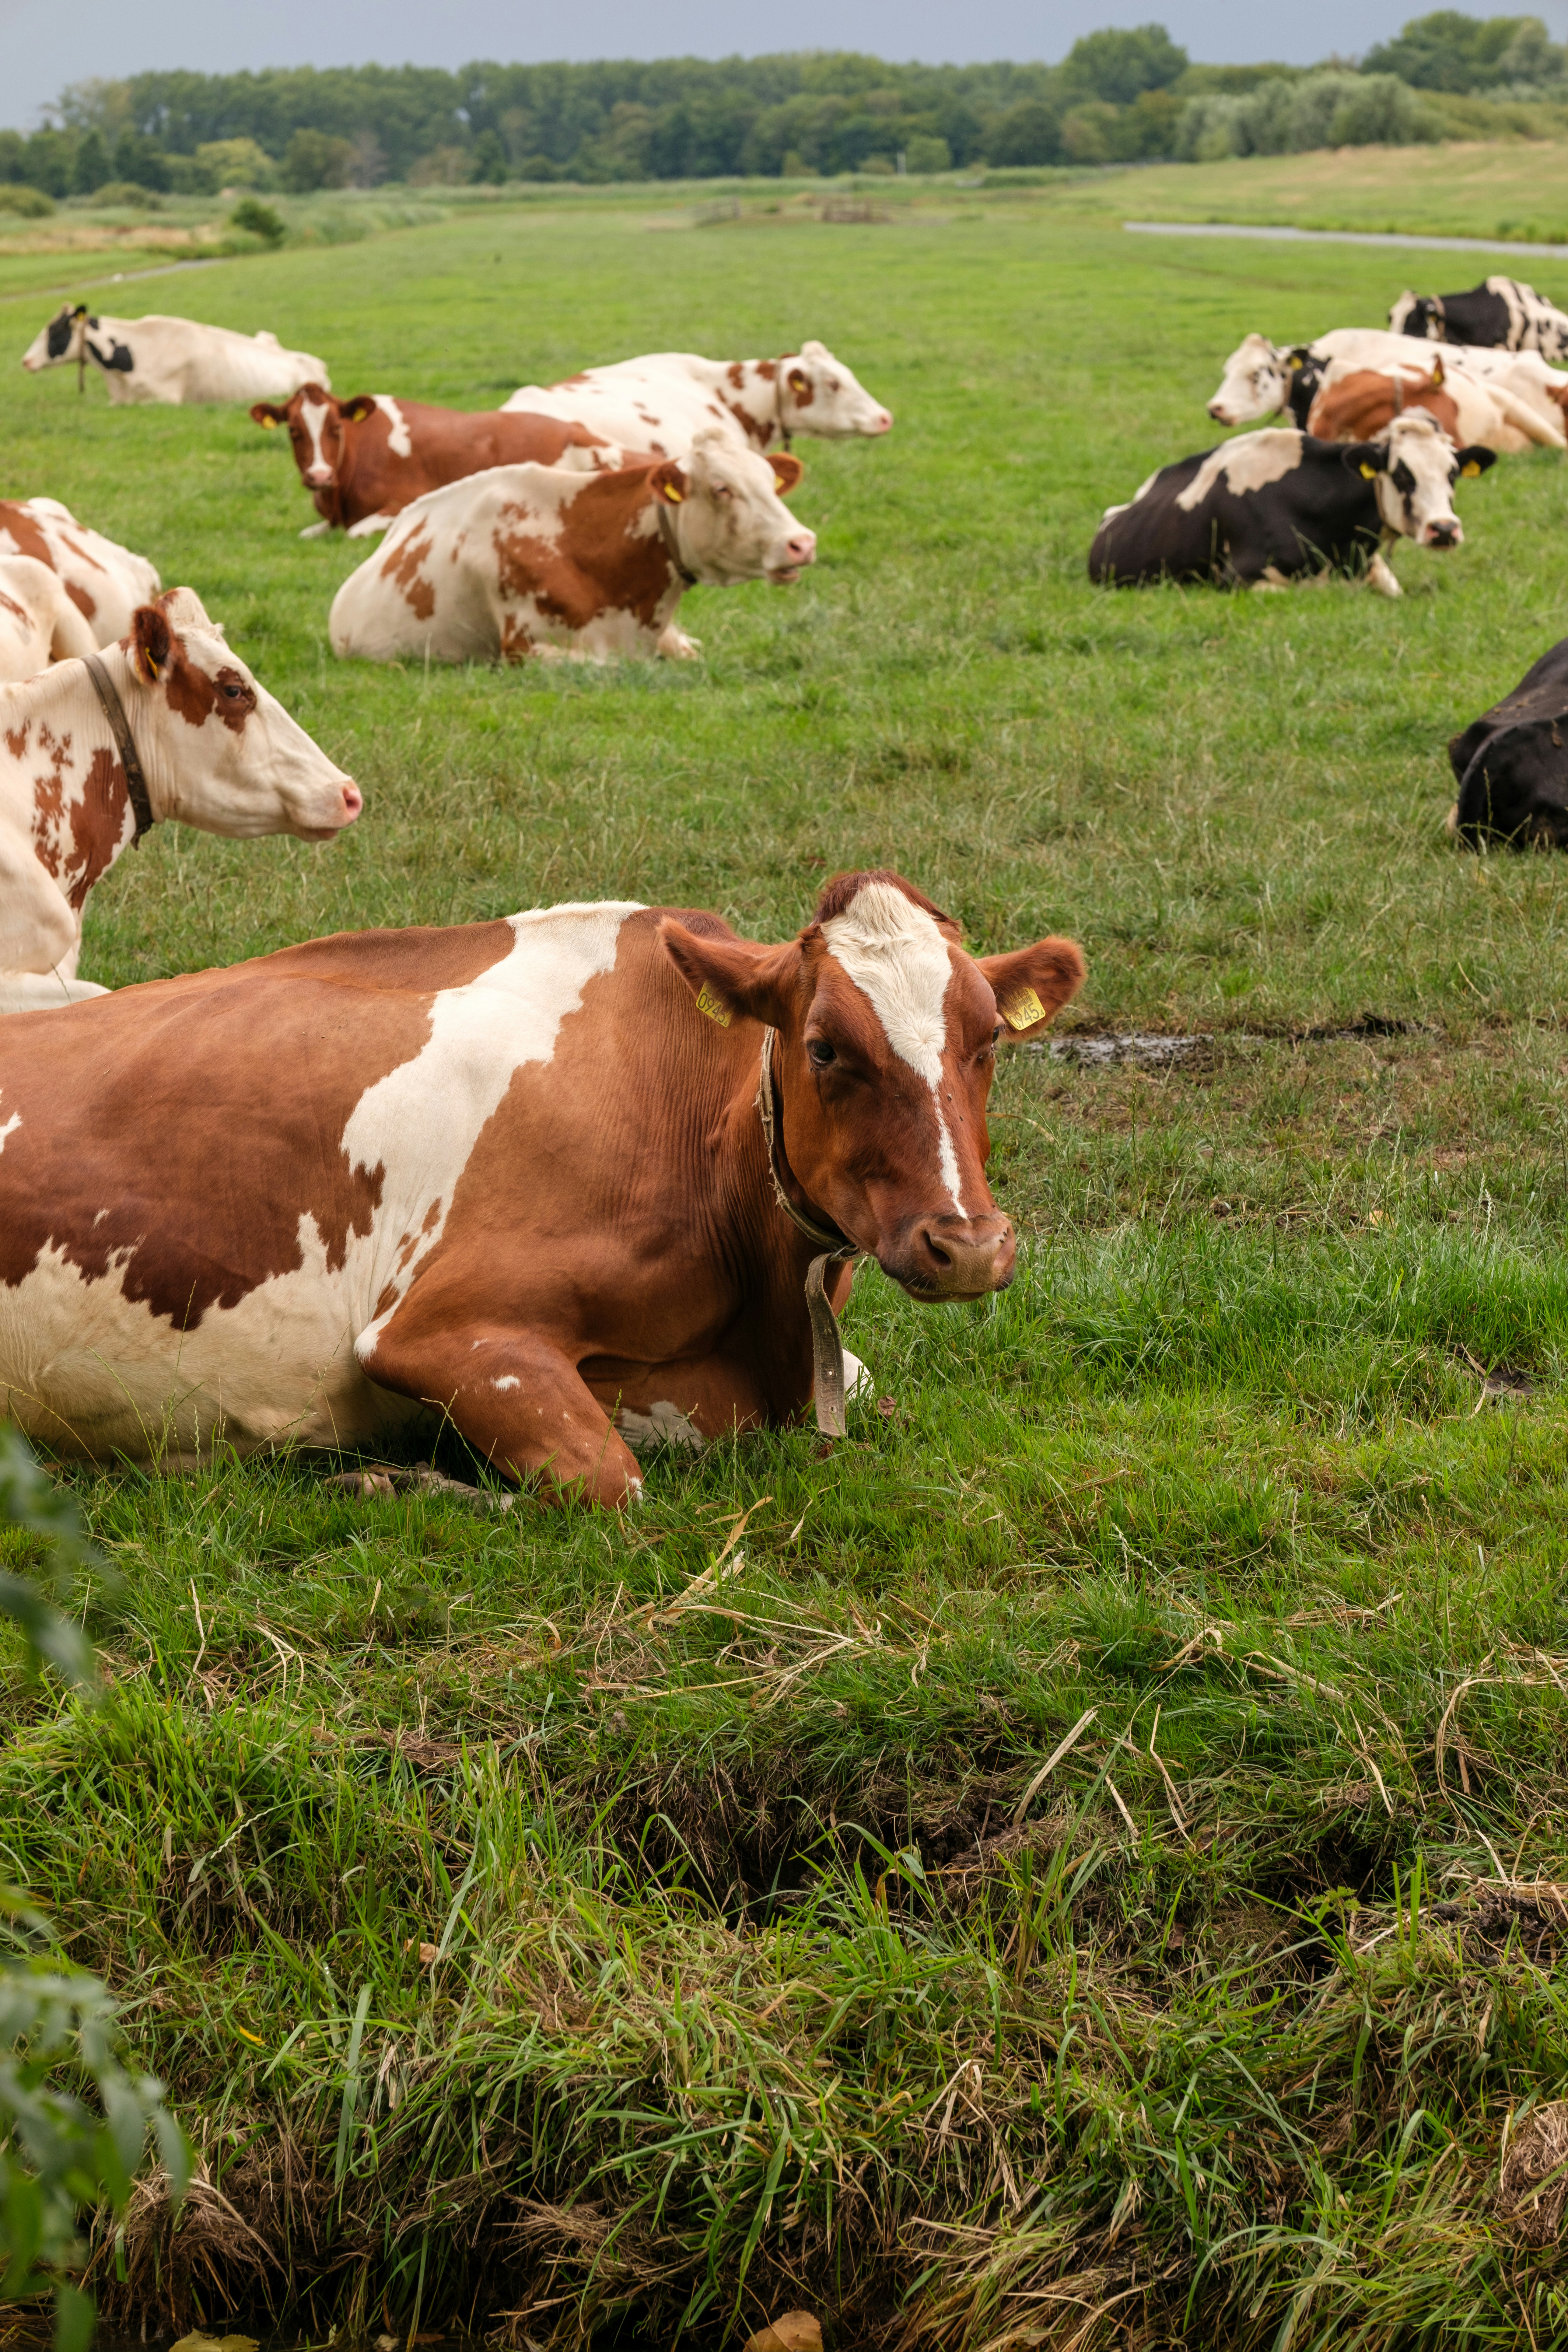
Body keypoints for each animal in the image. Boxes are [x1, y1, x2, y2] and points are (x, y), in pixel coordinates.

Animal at [0, 869, 1085, 1503]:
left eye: (988, 1040)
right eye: (823, 1047)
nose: (968, 1245)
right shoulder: (441, 1329)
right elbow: (613, 1481)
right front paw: (400, 1481)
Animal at [249, 384, 624, 539]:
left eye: (336, 428)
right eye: (294, 431)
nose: (320, 476)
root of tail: (575, 428)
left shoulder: (404, 502)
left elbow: (356, 531)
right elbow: (309, 534)